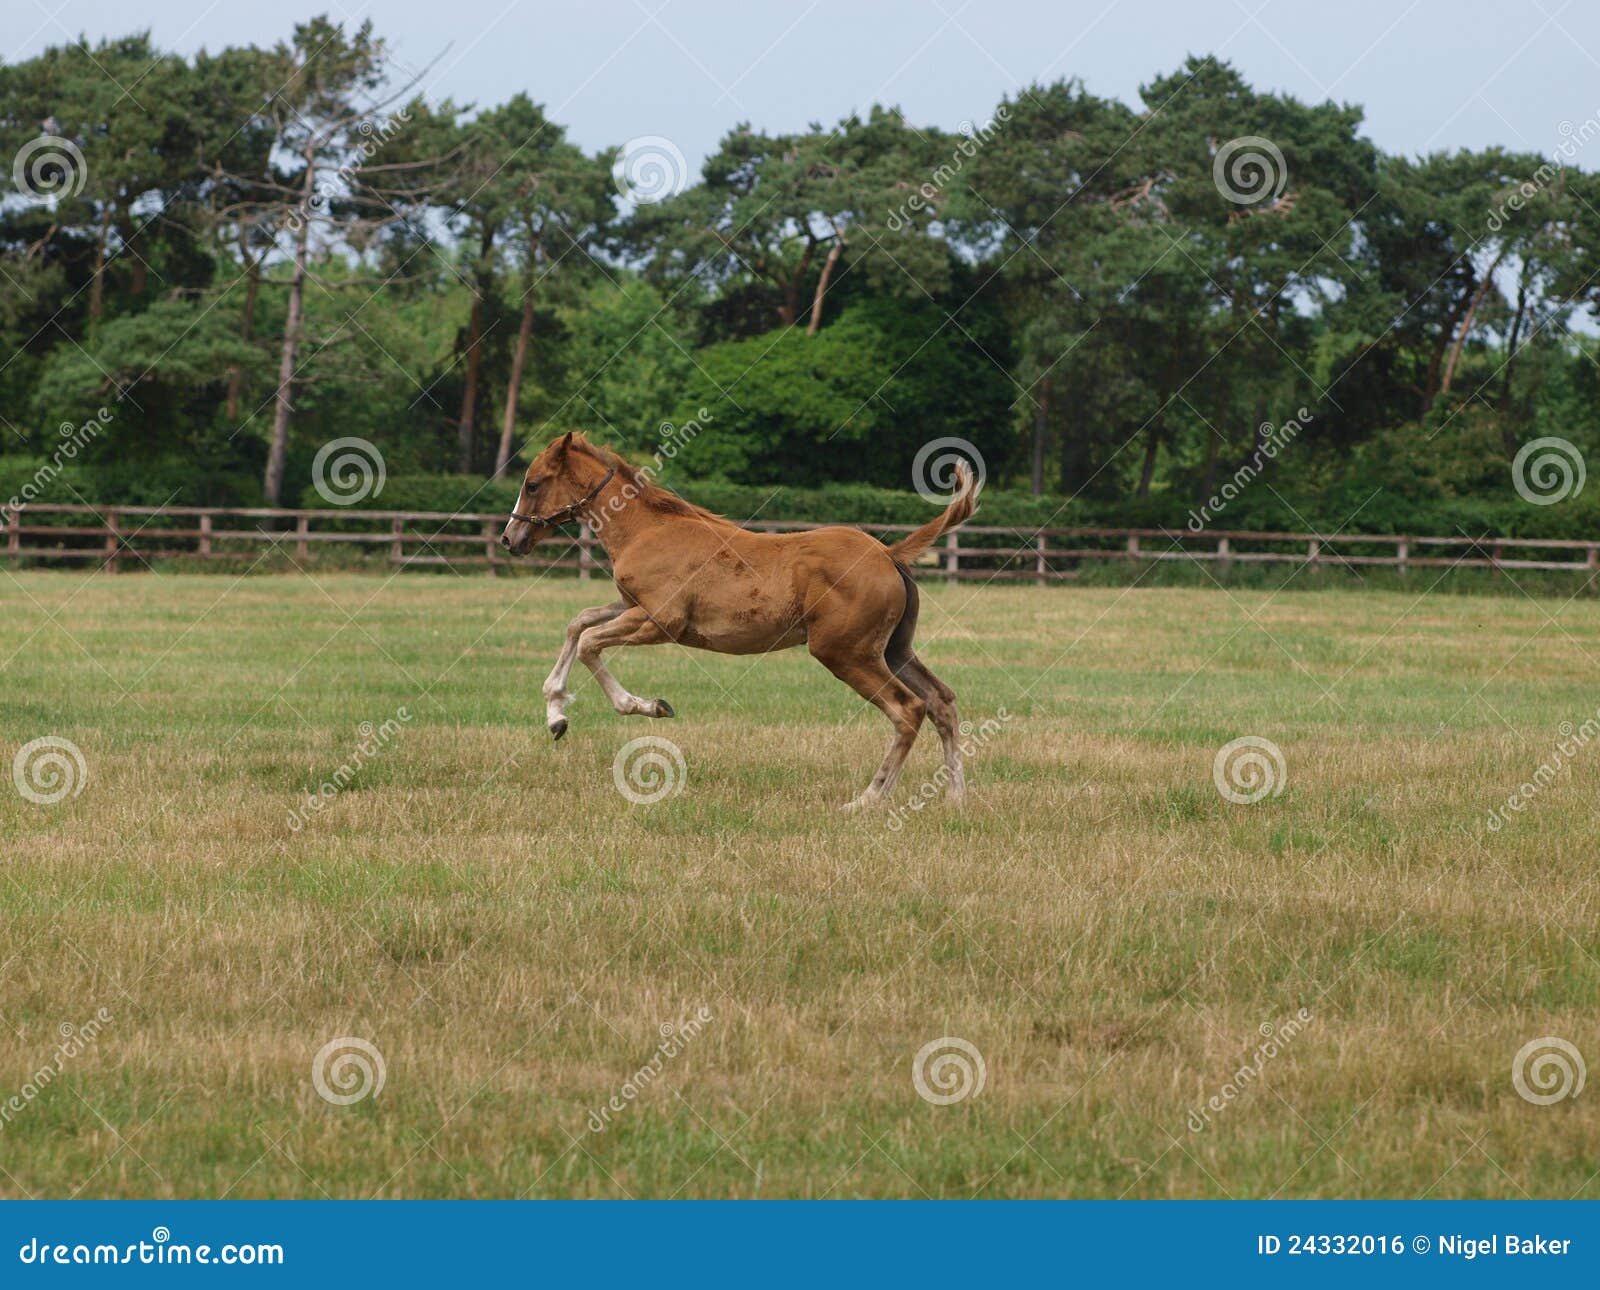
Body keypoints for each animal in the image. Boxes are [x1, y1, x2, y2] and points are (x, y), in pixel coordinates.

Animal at [499, 432, 980, 810]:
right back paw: (955, 797)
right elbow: (577, 624)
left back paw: (867, 799)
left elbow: (589, 642)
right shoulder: (630, 606)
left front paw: (645, 706)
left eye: (533, 483)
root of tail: (888, 553)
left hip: (846, 653)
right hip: (893, 649)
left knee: (907, 709)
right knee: (941, 700)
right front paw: (556, 716)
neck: (646, 530)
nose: (509, 538)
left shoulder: (660, 622)